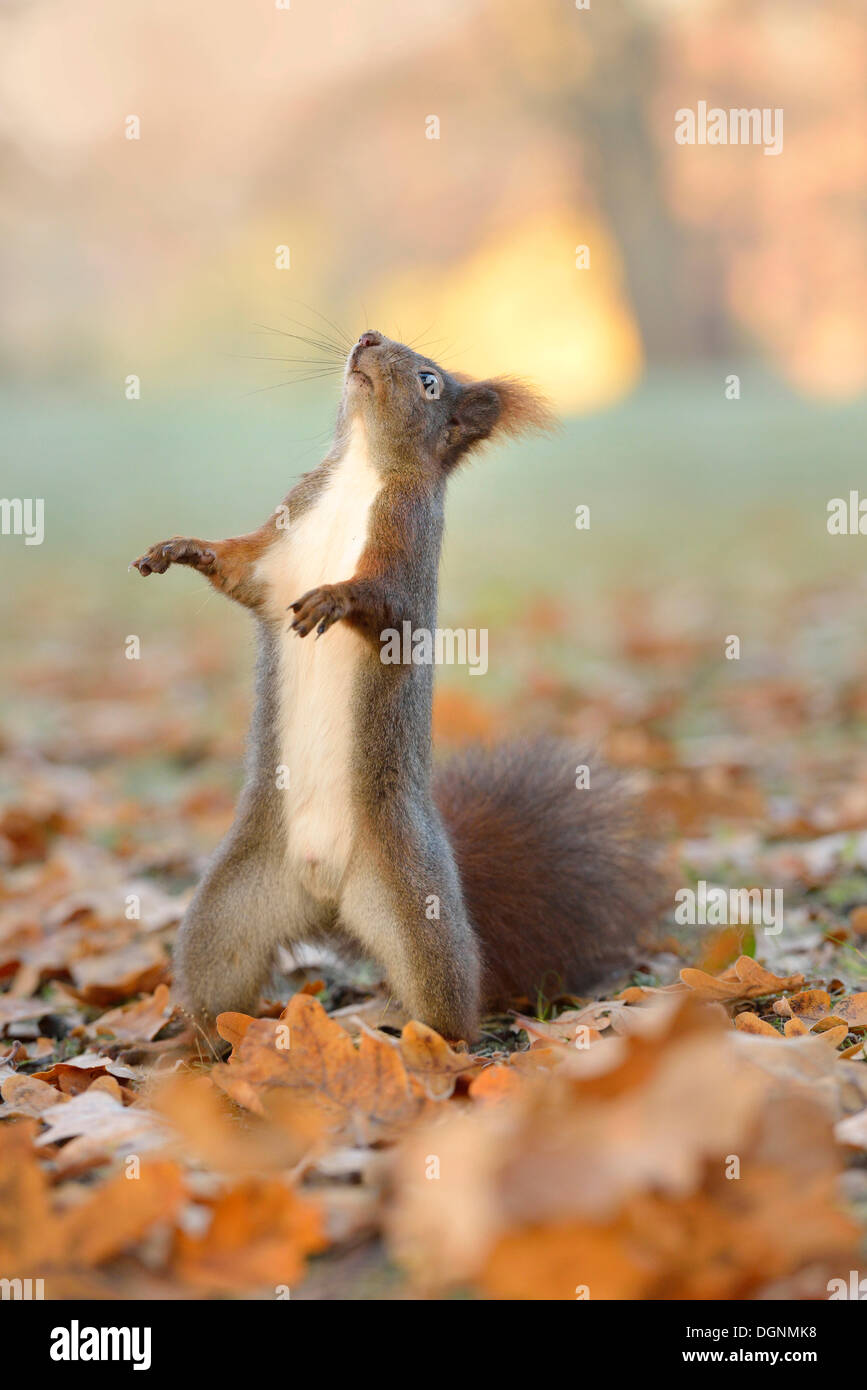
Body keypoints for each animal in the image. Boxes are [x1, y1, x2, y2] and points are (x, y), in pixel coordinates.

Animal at [132, 330, 656, 1042]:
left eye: (430, 382)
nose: (369, 338)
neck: (361, 469)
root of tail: (327, 899)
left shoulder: (406, 541)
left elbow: (385, 602)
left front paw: (334, 597)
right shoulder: (278, 547)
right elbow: (238, 568)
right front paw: (181, 547)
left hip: (414, 908)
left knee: (449, 997)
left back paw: (437, 1044)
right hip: (231, 905)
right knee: (216, 975)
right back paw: (201, 1043)